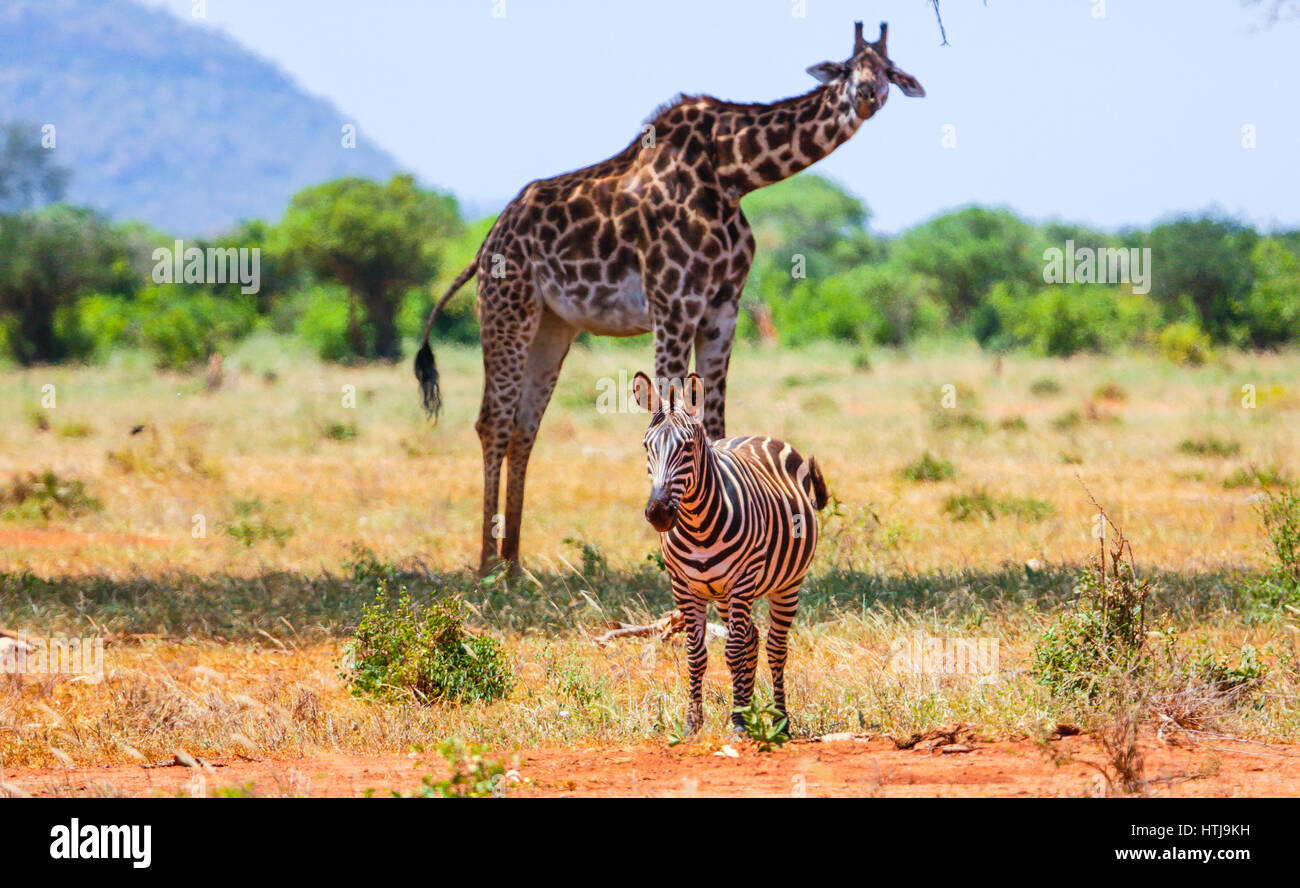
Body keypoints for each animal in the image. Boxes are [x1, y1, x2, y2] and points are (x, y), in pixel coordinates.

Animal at [416, 21, 925, 575]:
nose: (867, 95)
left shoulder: (722, 308)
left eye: (889, 71)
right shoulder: (674, 303)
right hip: (508, 309)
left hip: (553, 324)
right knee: (494, 421)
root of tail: (487, 242)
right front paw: (669, 547)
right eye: (849, 68)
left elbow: (714, 421)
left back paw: (513, 568)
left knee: (524, 427)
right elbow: (668, 406)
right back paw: (487, 566)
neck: (733, 173)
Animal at [631, 371, 828, 736]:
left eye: (687, 447)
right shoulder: (684, 586)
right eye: (647, 446)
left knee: (774, 648)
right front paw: (693, 723)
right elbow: (697, 654)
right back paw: (750, 711)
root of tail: (759, 436)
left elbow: (734, 652)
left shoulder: (743, 580)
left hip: (786, 584)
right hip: (722, 593)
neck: (697, 525)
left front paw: (737, 723)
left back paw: (779, 721)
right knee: (751, 638)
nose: (659, 514)